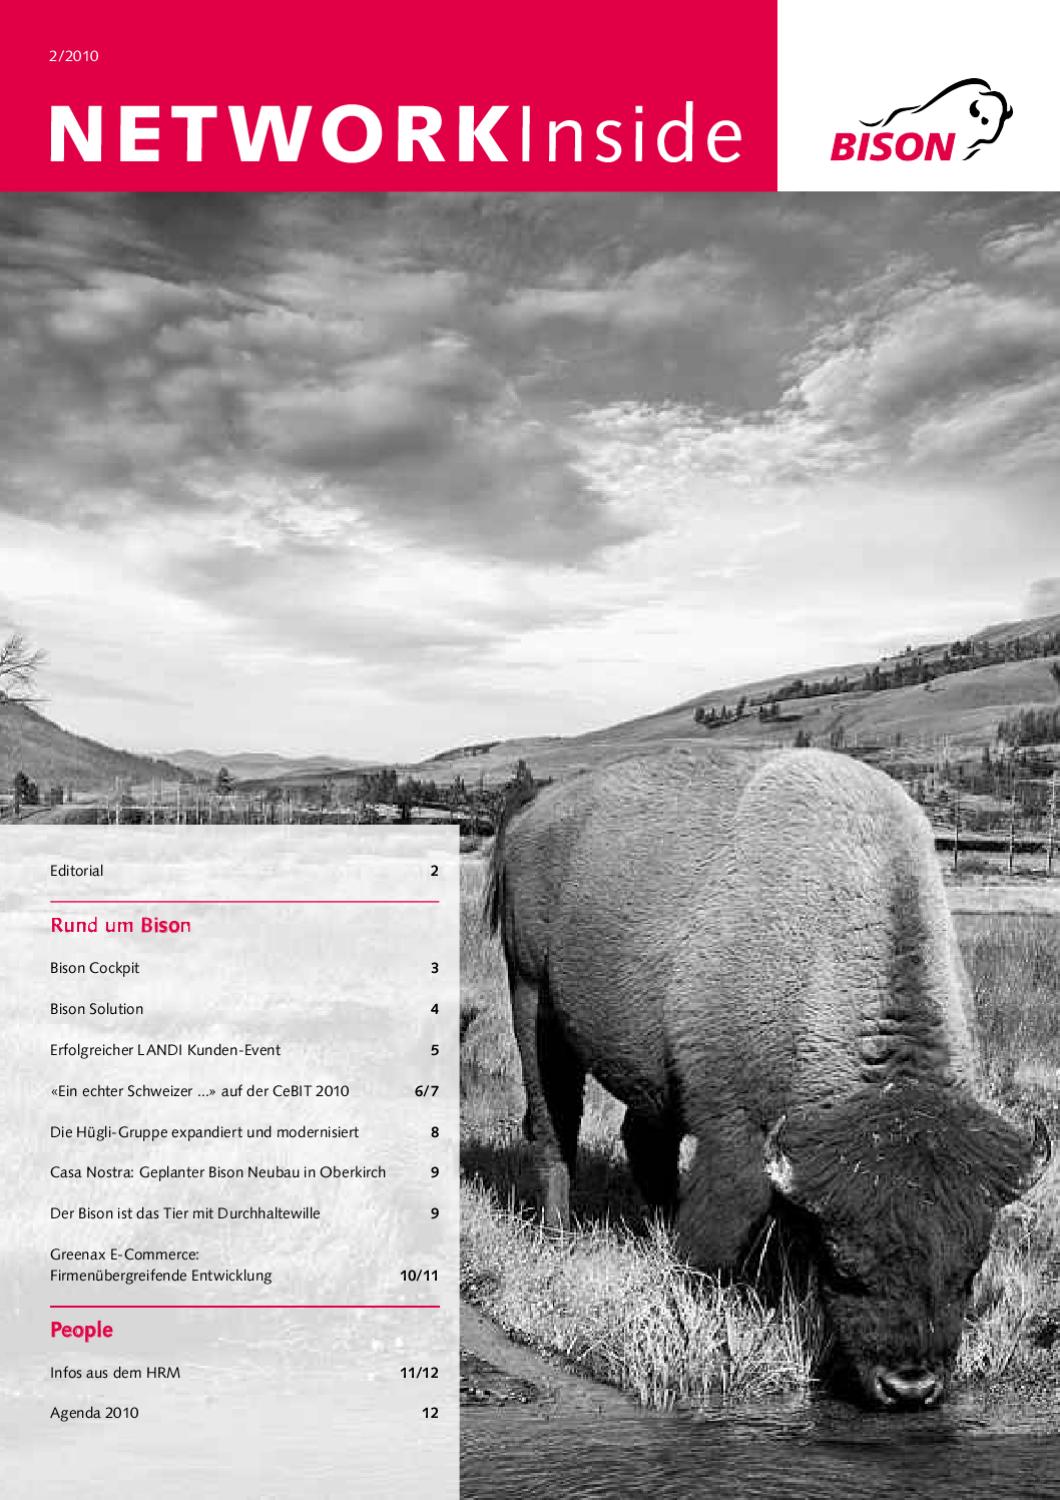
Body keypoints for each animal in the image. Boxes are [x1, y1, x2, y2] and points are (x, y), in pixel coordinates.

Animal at [485, 747, 1050, 1408]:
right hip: (531, 998)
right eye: (843, 1265)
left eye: (970, 1269)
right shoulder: (737, 1134)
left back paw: (655, 1226)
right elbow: (719, 1228)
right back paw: (559, 1235)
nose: (909, 1386)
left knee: (643, 1141)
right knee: (556, 1125)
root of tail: (529, 815)